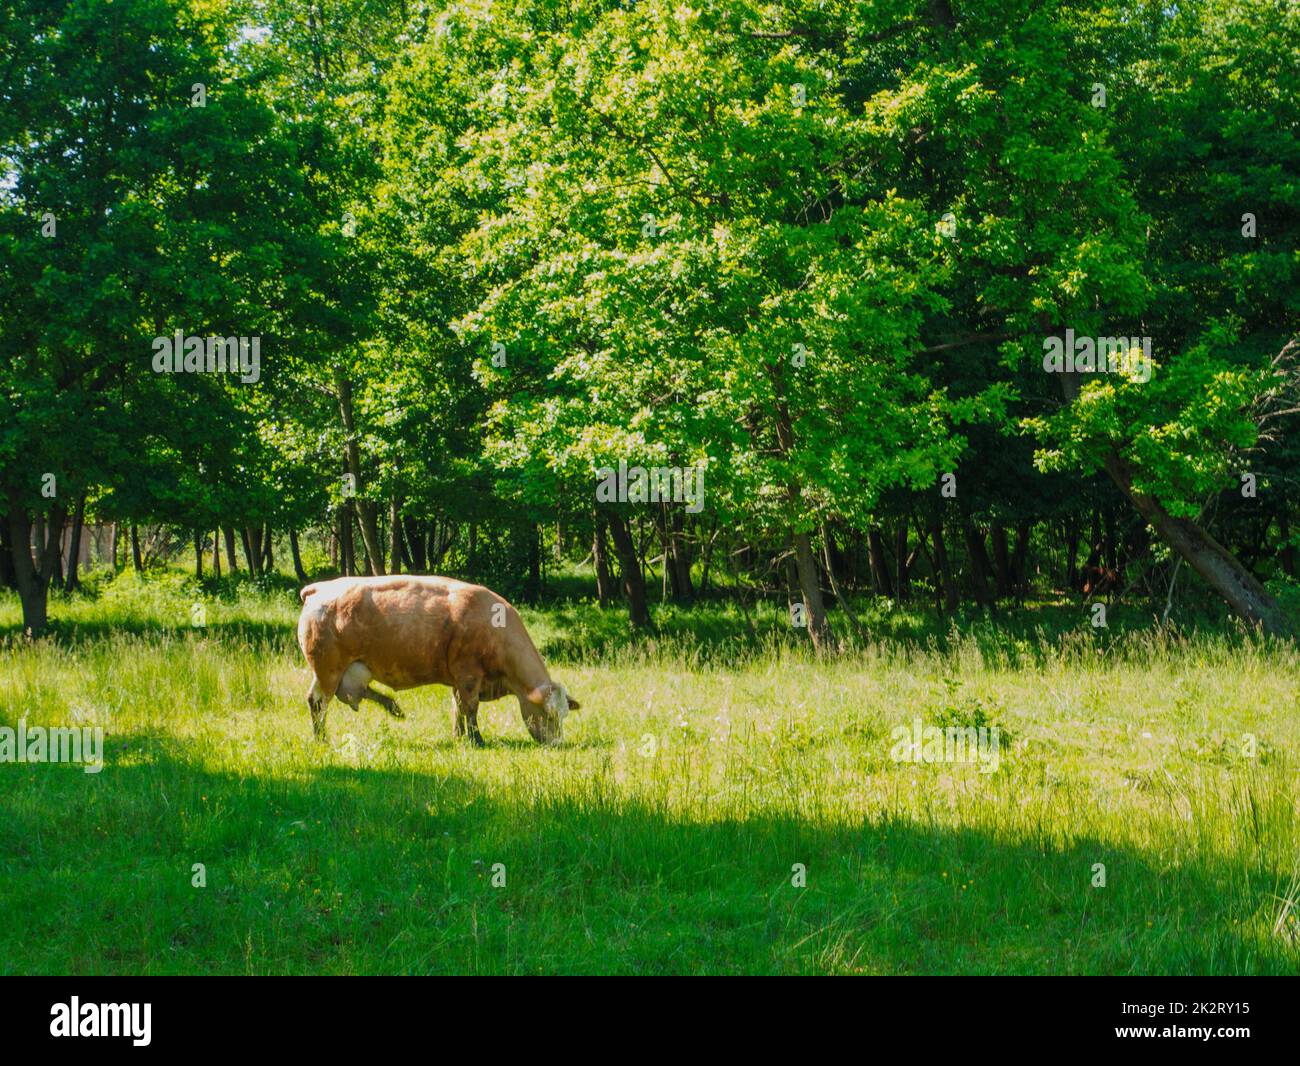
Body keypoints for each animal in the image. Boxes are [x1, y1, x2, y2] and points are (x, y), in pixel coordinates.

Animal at [296, 575, 580, 747]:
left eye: (564, 714)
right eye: (549, 714)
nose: (557, 744)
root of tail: (318, 588)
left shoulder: (459, 679)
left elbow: (458, 708)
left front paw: (458, 737)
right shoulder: (468, 674)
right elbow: (470, 708)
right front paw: (477, 740)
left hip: (345, 672)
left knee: (352, 694)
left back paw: (393, 707)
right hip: (328, 669)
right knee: (318, 701)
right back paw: (322, 739)